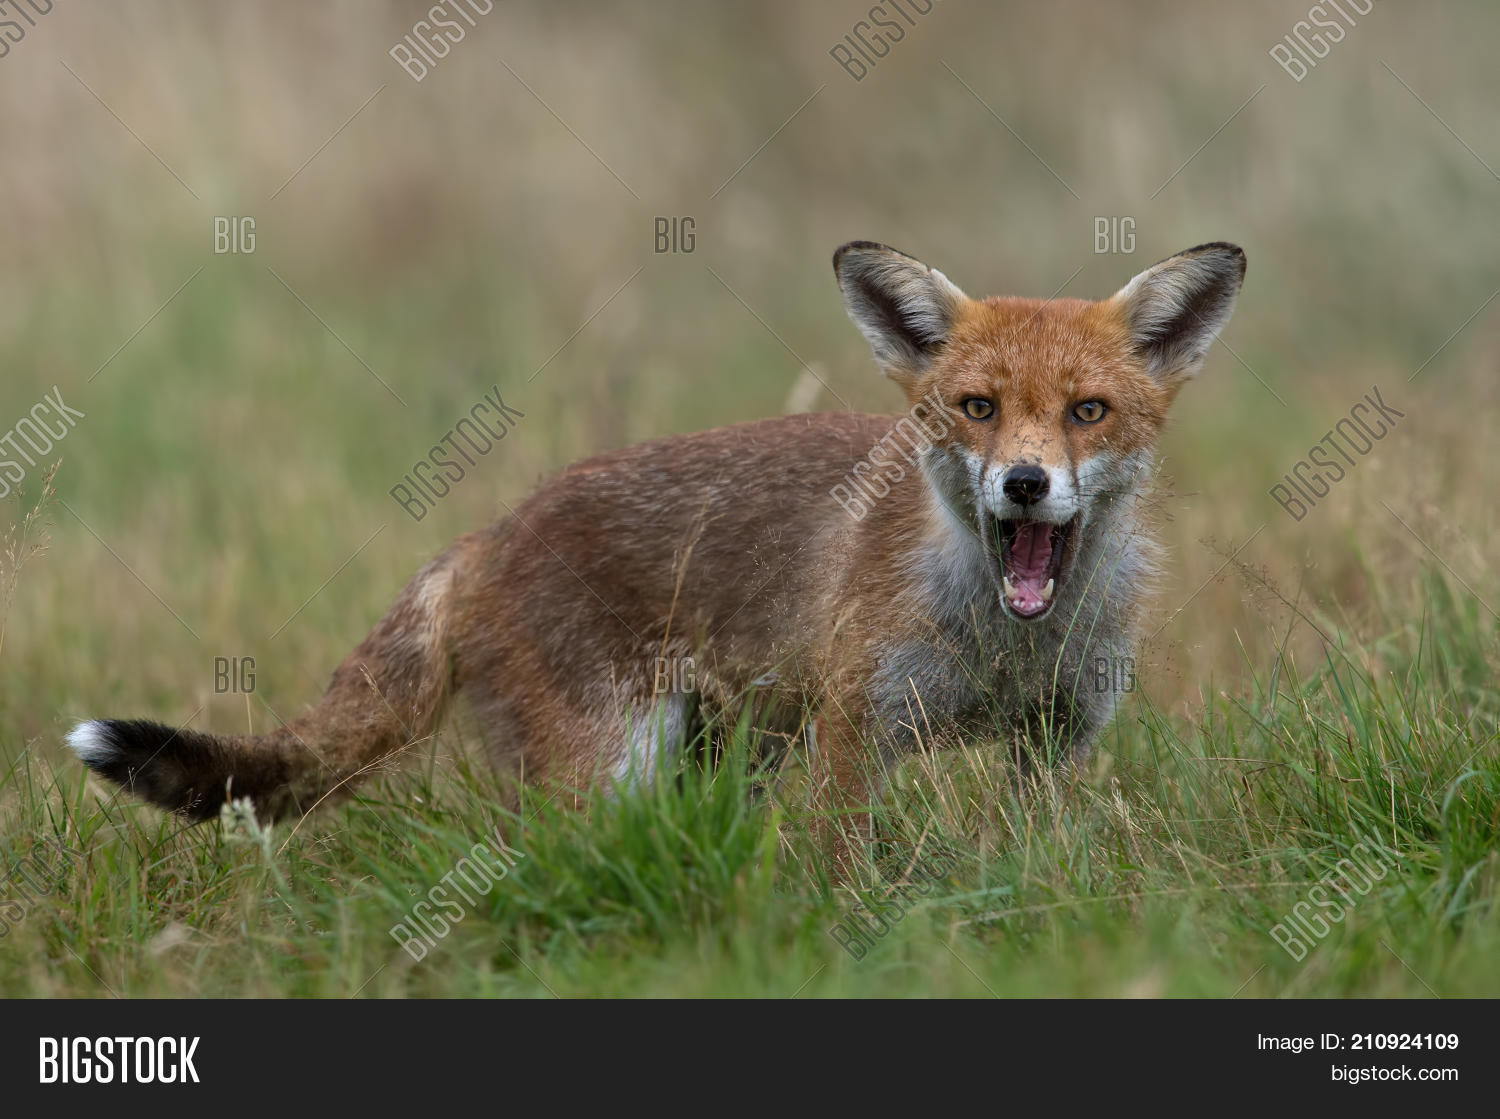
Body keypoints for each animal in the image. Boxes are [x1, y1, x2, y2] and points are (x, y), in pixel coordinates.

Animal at [66, 240, 1245, 854]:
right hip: (612, 774)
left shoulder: (1060, 738)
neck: (1002, 641)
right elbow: (845, 874)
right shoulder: (856, 731)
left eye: (1088, 412)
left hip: (719, 757)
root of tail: (485, 536)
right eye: (977, 407)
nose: (1026, 484)